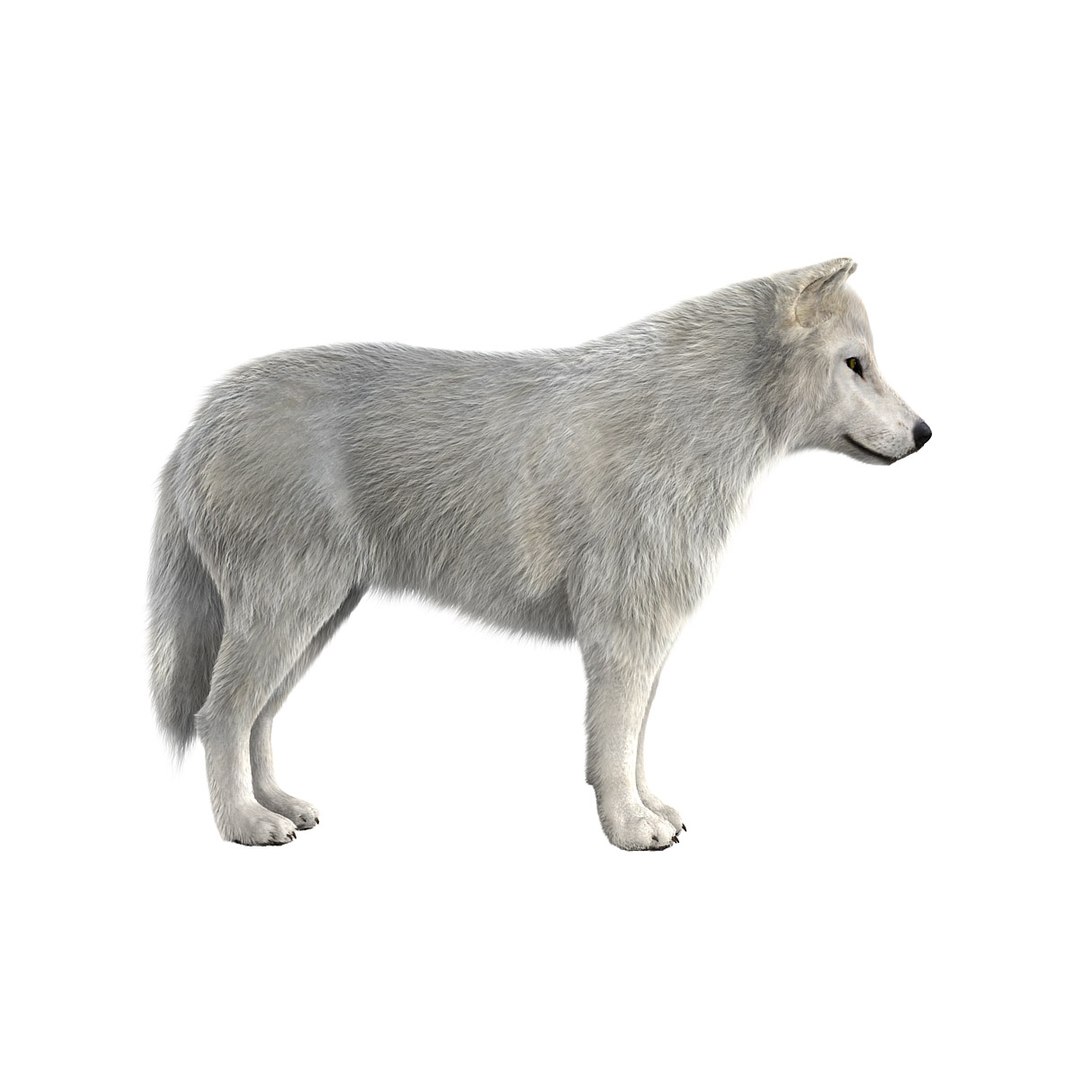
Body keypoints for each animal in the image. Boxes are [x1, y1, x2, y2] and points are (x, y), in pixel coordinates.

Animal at [148, 258, 931, 849]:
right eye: (855, 364)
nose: (925, 432)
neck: (692, 420)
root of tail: (201, 421)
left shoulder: (651, 632)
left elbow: (635, 740)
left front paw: (648, 808)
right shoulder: (622, 630)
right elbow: (614, 740)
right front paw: (629, 828)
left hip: (316, 612)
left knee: (259, 715)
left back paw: (277, 804)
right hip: (287, 605)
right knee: (221, 715)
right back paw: (246, 824)